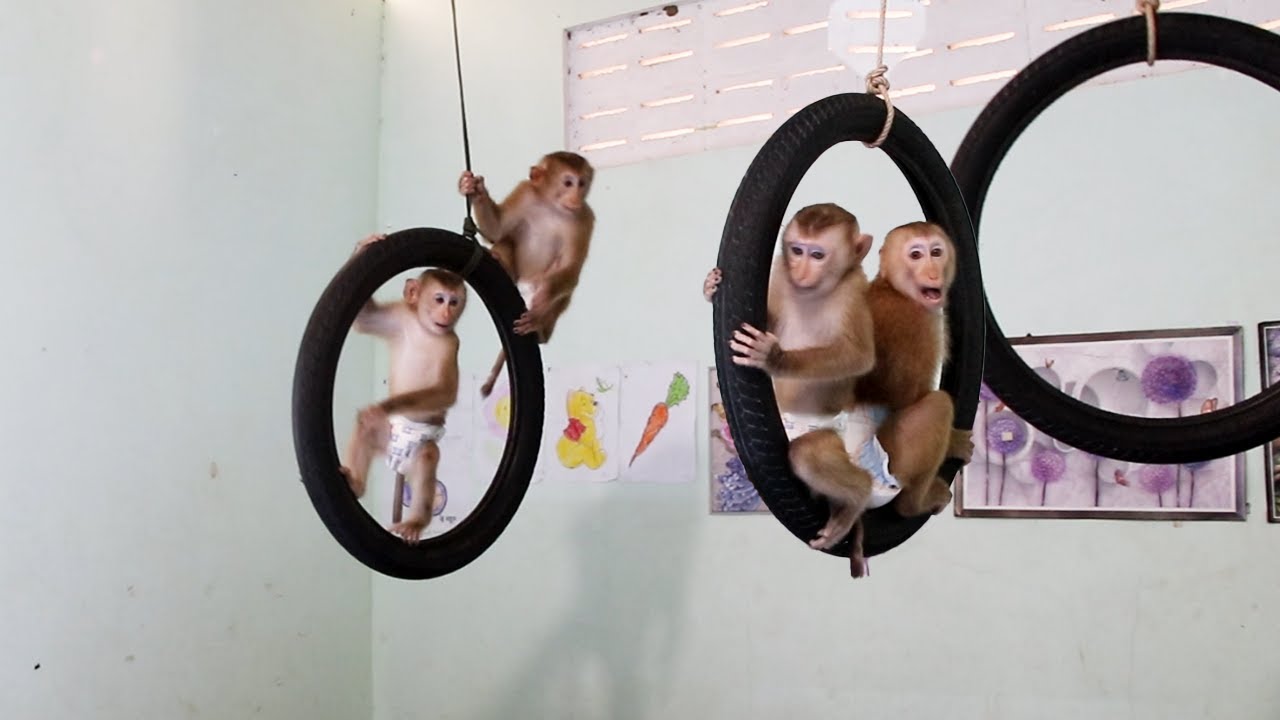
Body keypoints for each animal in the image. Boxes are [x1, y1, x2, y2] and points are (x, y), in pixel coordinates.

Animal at [340, 232, 467, 543]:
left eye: (455, 301)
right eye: (439, 298)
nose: (447, 312)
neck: (425, 328)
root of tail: (397, 466)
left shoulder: (450, 343)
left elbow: (447, 391)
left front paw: (385, 405)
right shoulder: (399, 317)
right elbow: (365, 320)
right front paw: (365, 245)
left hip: (417, 452)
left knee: (428, 457)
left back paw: (415, 522)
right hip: (385, 438)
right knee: (366, 428)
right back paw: (355, 481)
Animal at [458, 151, 596, 397]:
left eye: (582, 183)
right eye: (568, 182)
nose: (577, 196)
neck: (552, 206)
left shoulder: (584, 219)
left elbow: (571, 268)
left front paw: (543, 296)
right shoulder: (525, 193)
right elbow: (498, 230)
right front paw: (474, 189)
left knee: (561, 290)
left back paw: (540, 325)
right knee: (507, 241)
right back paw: (500, 261)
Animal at [705, 203, 902, 576]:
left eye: (817, 254)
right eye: (796, 250)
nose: (801, 269)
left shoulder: (852, 292)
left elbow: (857, 356)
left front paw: (774, 358)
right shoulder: (779, 278)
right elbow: (764, 319)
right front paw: (711, 287)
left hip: (835, 434)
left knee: (808, 453)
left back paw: (855, 495)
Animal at [851, 220, 974, 519]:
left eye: (936, 252)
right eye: (916, 255)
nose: (932, 272)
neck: (893, 289)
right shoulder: (917, 325)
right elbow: (908, 398)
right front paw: (953, 442)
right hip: (883, 469)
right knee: (938, 405)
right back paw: (913, 505)